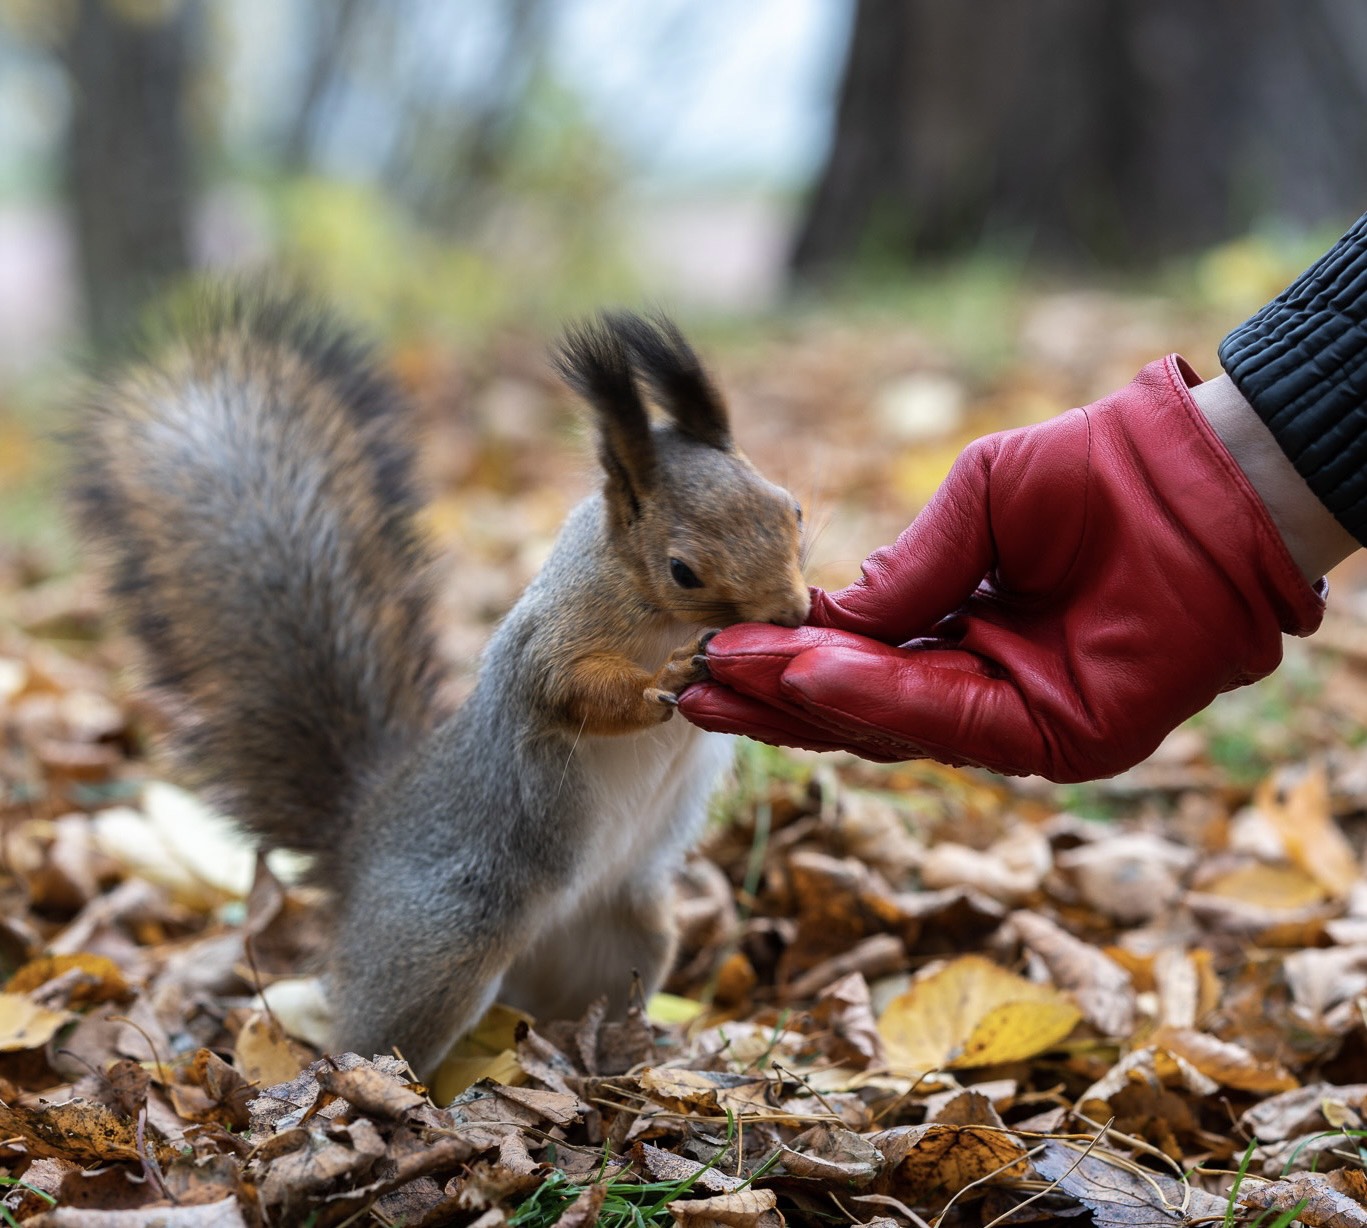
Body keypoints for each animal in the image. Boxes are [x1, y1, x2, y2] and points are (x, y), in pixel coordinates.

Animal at [72, 287, 809, 1072]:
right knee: (376, 1041)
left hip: (625, 937)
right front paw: (660, 679)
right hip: (442, 951)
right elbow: (575, 690)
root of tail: (360, 845)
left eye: (791, 509)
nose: (794, 612)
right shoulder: (550, 643)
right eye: (682, 571)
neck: (654, 606)